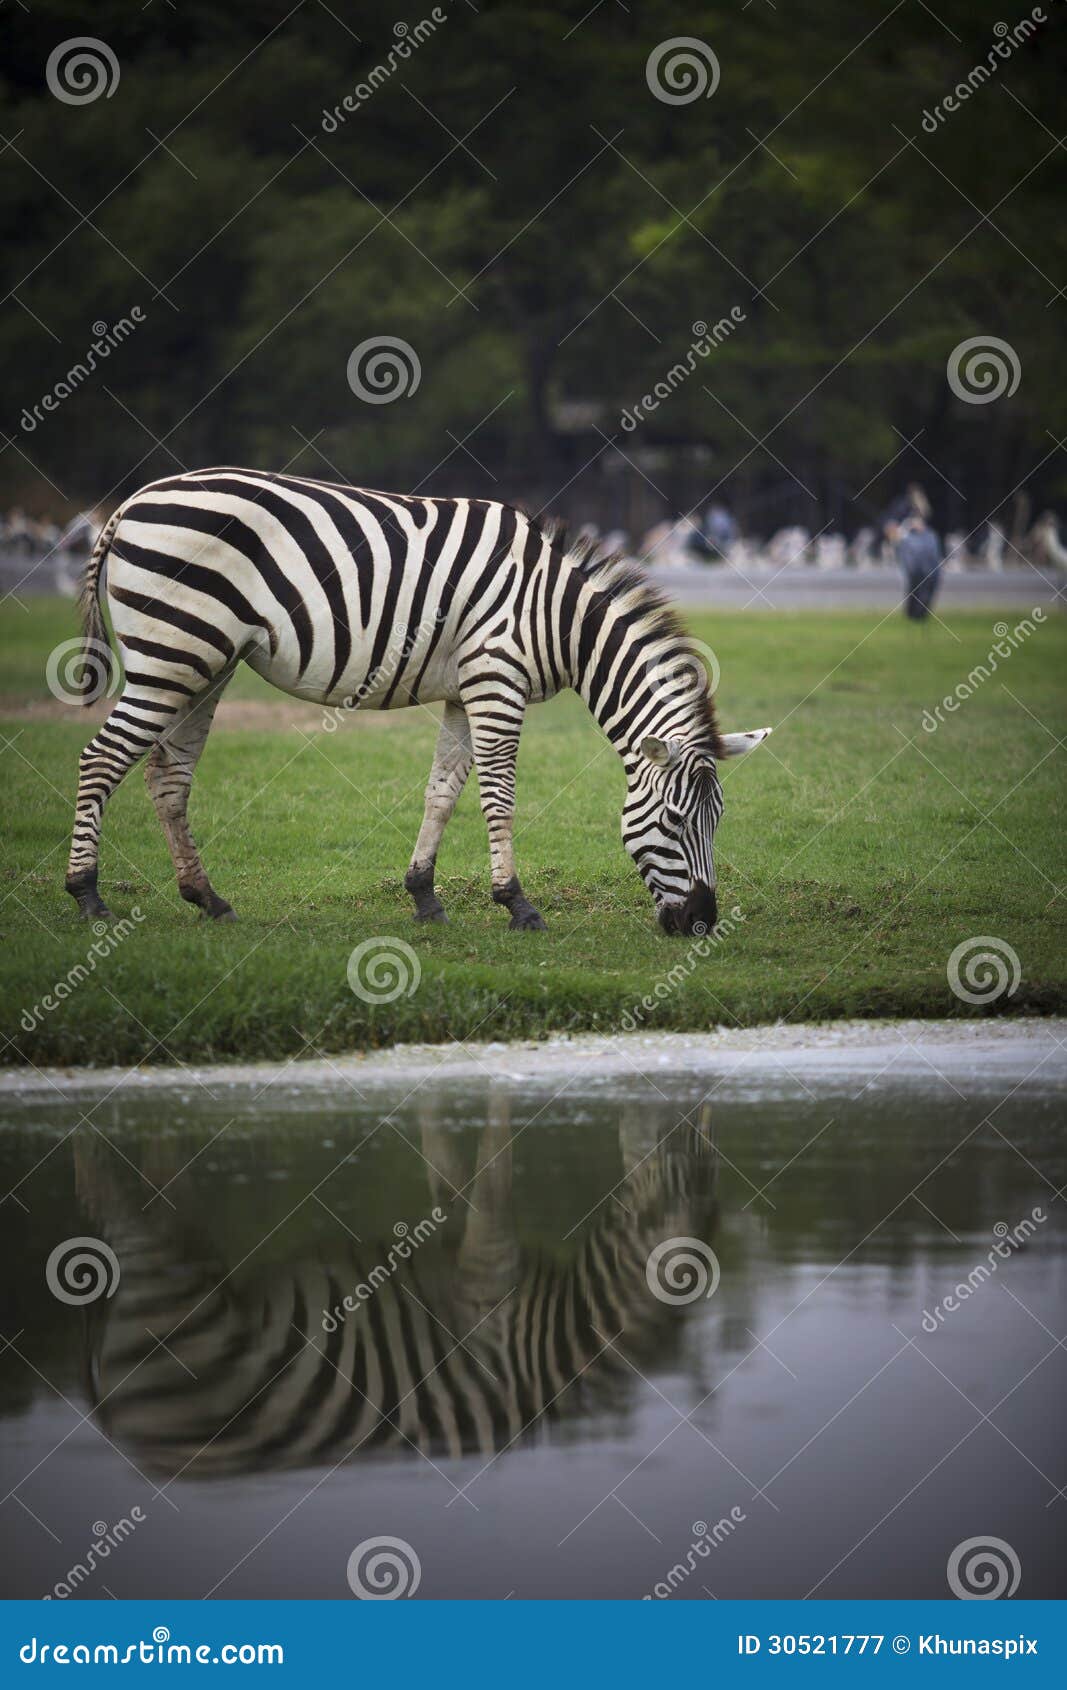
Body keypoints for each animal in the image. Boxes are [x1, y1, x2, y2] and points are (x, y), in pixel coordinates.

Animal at [65, 468, 771, 935]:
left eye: (719, 820)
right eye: (675, 821)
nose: (702, 923)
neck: (556, 617)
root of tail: (132, 500)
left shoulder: (465, 690)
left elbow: (443, 790)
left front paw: (424, 897)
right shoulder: (497, 682)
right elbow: (498, 795)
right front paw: (517, 904)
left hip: (204, 663)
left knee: (167, 774)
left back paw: (206, 897)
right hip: (173, 653)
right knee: (102, 757)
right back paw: (87, 895)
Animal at [76, 1099, 718, 1476]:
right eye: (690, 1150)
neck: (568, 1329)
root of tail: (116, 1429)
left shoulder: (469, 1253)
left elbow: (451, 1178)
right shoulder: (491, 1273)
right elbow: (496, 1161)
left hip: (183, 1265)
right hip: (170, 1282)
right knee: (117, 1199)